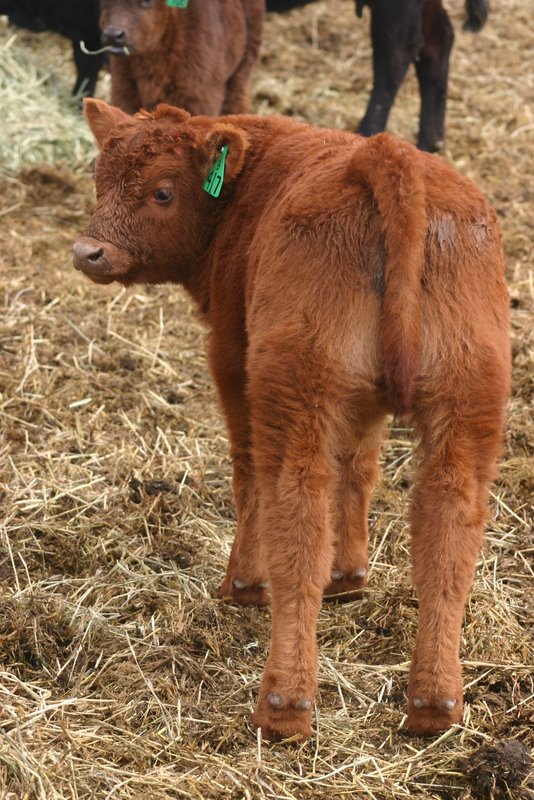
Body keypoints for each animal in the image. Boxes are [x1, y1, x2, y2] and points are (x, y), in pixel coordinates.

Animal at [73, 99, 511, 741]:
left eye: (162, 191)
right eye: (100, 180)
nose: (88, 252)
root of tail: (387, 156)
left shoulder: (232, 358)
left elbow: (249, 473)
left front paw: (245, 584)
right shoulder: (361, 406)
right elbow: (359, 466)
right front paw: (349, 577)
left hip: (291, 391)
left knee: (294, 508)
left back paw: (283, 704)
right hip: (465, 406)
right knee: (447, 531)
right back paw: (435, 702)